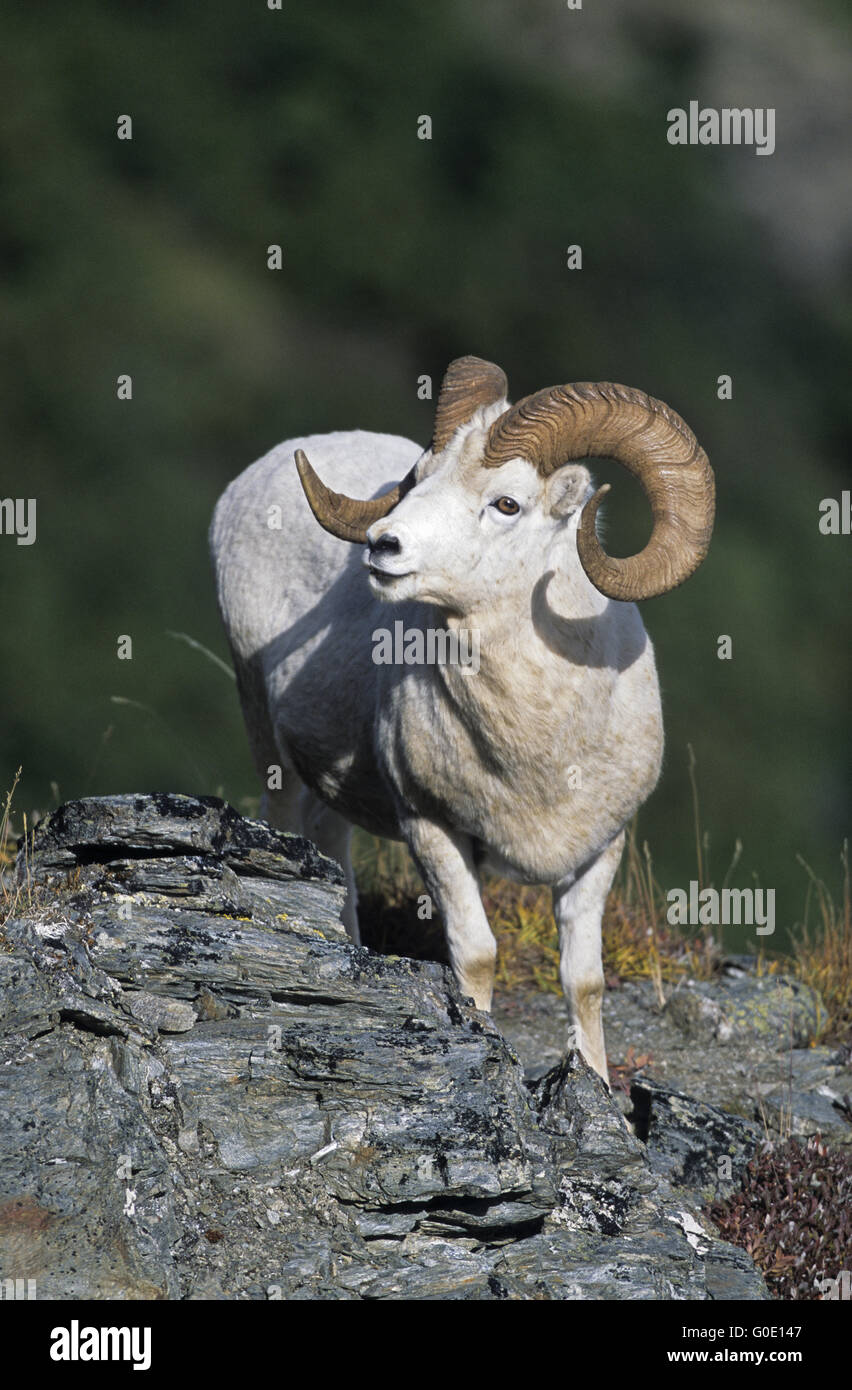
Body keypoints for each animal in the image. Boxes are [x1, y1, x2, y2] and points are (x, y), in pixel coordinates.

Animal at [210, 357, 714, 1084]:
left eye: (507, 503)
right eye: (420, 477)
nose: (382, 546)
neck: (539, 746)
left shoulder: (600, 851)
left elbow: (584, 981)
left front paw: (595, 1084)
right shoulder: (432, 828)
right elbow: (475, 955)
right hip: (269, 746)